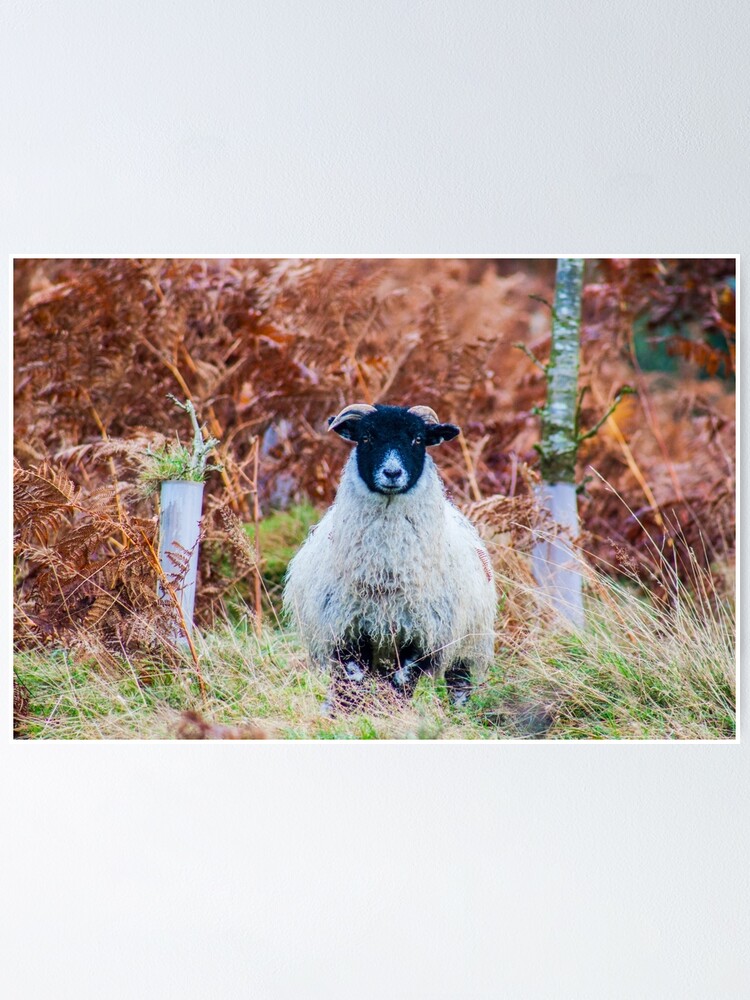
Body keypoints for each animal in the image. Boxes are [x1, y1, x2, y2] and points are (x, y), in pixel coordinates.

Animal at [283, 403, 496, 708]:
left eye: (418, 439)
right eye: (366, 438)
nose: (392, 473)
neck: (386, 572)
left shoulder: (420, 636)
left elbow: (402, 685)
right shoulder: (348, 631)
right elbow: (351, 684)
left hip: (469, 641)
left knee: (459, 682)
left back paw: (459, 711)